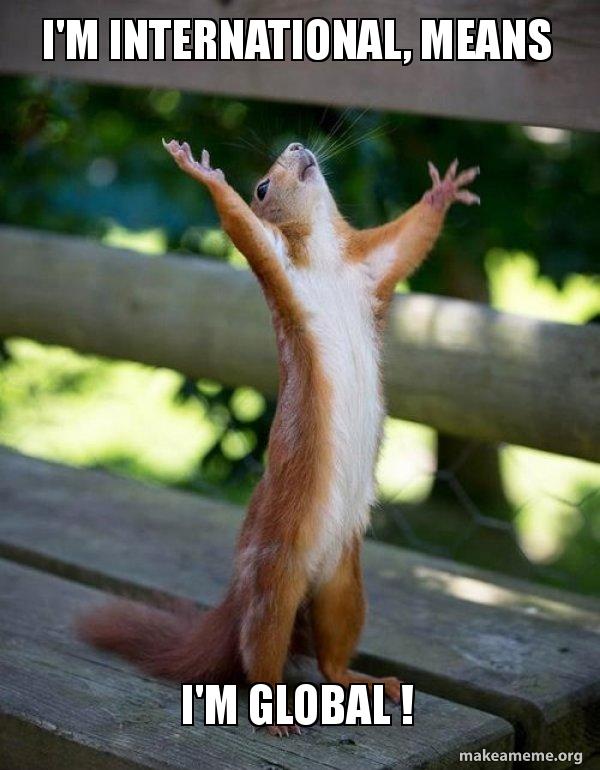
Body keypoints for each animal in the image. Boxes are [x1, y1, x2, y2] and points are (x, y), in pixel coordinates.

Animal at [79, 138, 479, 737]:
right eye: (262, 186)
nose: (296, 146)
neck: (327, 259)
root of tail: (240, 592)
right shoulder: (278, 266)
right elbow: (242, 227)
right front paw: (204, 173)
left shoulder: (371, 267)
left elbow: (408, 241)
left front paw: (443, 191)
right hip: (275, 579)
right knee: (259, 650)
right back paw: (275, 714)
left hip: (344, 584)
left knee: (332, 654)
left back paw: (359, 680)